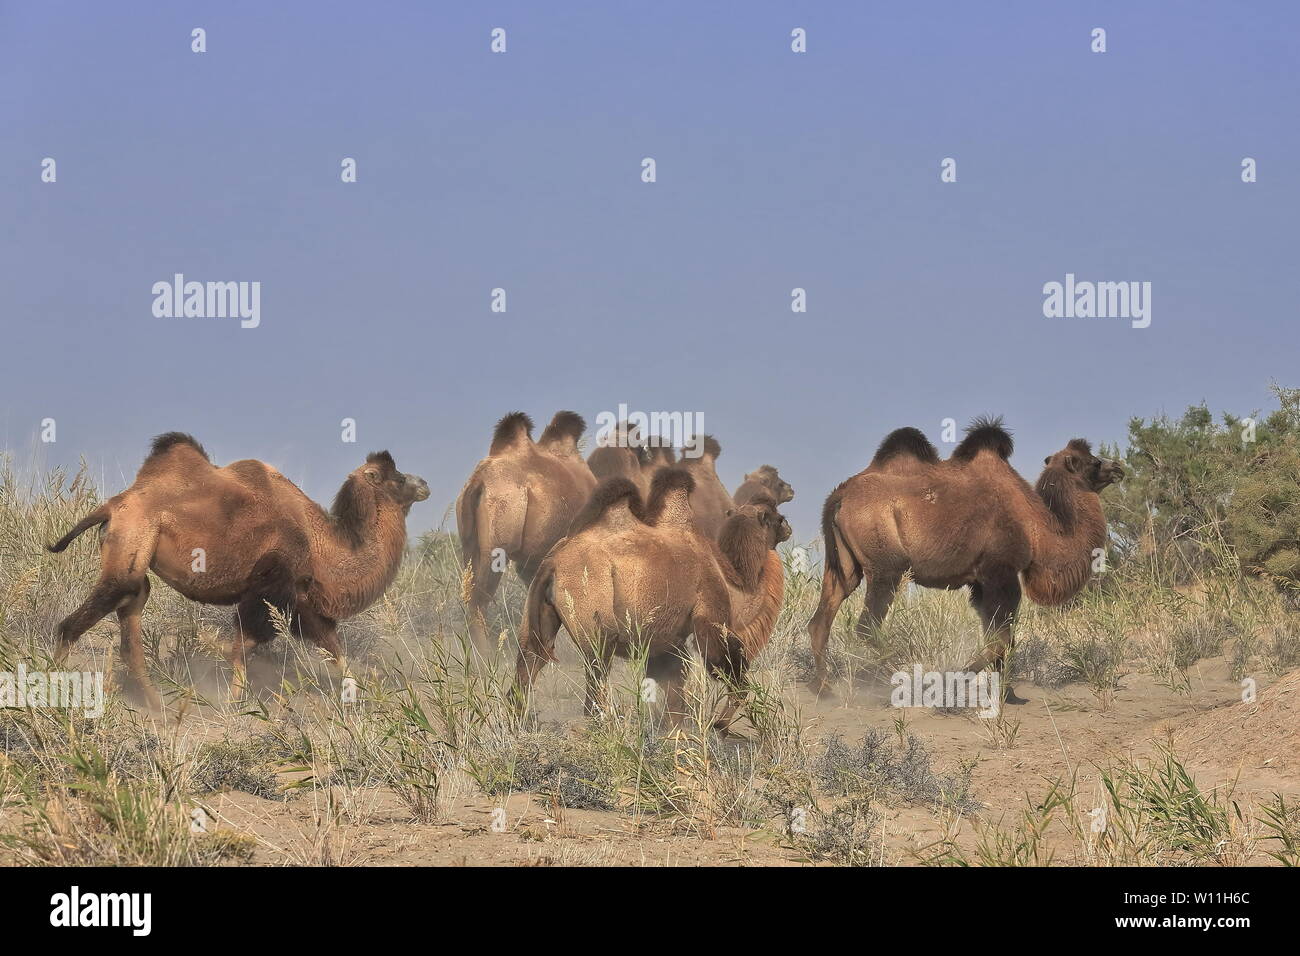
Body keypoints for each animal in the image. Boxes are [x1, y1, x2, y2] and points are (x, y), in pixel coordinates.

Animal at [49, 433, 429, 709]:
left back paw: (158, 706)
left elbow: (331, 646)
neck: (321, 546)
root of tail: (113, 505)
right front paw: (232, 698)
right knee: (73, 623)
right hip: (132, 539)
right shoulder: (270, 589)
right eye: (397, 478)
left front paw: (360, 687)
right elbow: (245, 644)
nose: (424, 483)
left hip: (134, 555)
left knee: (132, 611)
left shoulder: (299, 600)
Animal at [456, 411, 597, 655]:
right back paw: (486, 656)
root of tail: (478, 481)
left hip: (469, 543)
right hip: (497, 540)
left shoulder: (531, 561)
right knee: (478, 600)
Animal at [514, 469, 790, 731]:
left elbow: (673, 687)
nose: (788, 525)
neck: (733, 582)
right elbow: (729, 670)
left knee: (530, 658)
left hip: (539, 611)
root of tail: (553, 562)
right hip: (595, 617)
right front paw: (720, 726)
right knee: (595, 673)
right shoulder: (710, 615)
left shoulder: (667, 640)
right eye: (774, 516)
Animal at [808, 418, 1123, 702]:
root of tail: (839, 496)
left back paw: (825, 689)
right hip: (886, 566)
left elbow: (1000, 637)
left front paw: (1008, 694)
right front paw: (958, 679)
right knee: (867, 626)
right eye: (1093, 462)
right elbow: (1002, 639)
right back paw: (894, 680)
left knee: (822, 619)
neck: (1037, 527)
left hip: (845, 565)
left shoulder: (980, 583)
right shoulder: (1001, 574)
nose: (1117, 467)